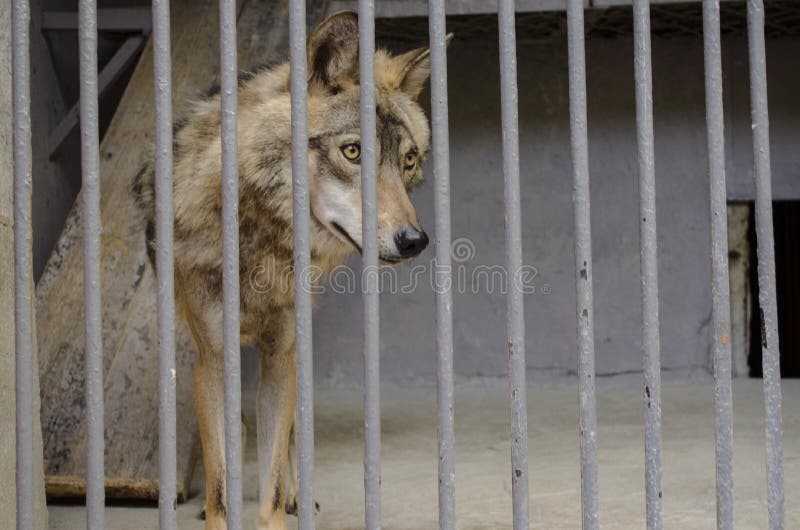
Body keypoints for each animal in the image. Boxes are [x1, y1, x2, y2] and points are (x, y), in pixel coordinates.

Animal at [135, 10, 445, 530]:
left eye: (407, 160)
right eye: (352, 152)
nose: (414, 241)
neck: (261, 245)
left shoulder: (281, 355)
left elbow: (272, 487)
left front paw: (284, 503)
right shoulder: (213, 361)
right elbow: (222, 486)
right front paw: (215, 506)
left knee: (293, 436)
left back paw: (303, 494)